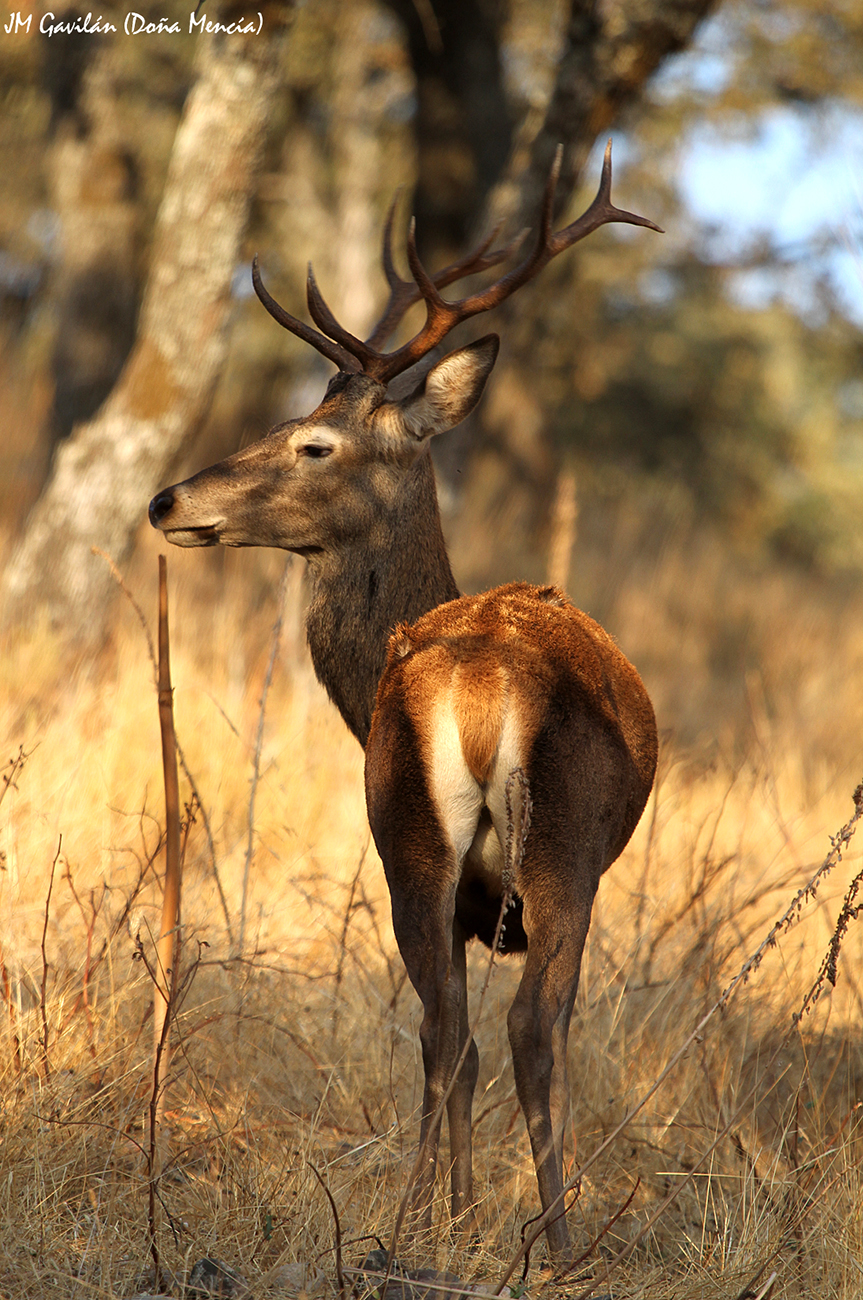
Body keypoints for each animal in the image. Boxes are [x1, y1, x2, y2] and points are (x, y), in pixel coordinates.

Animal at [149, 143, 660, 1269]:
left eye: (311, 445)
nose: (167, 499)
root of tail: (484, 682)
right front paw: (475, 1222)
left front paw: (452, 1220)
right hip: (532, 844)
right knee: (515, 1029)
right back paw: (539, 1238)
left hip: (423, 837)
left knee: (458, 1031)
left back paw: (437, 1226)